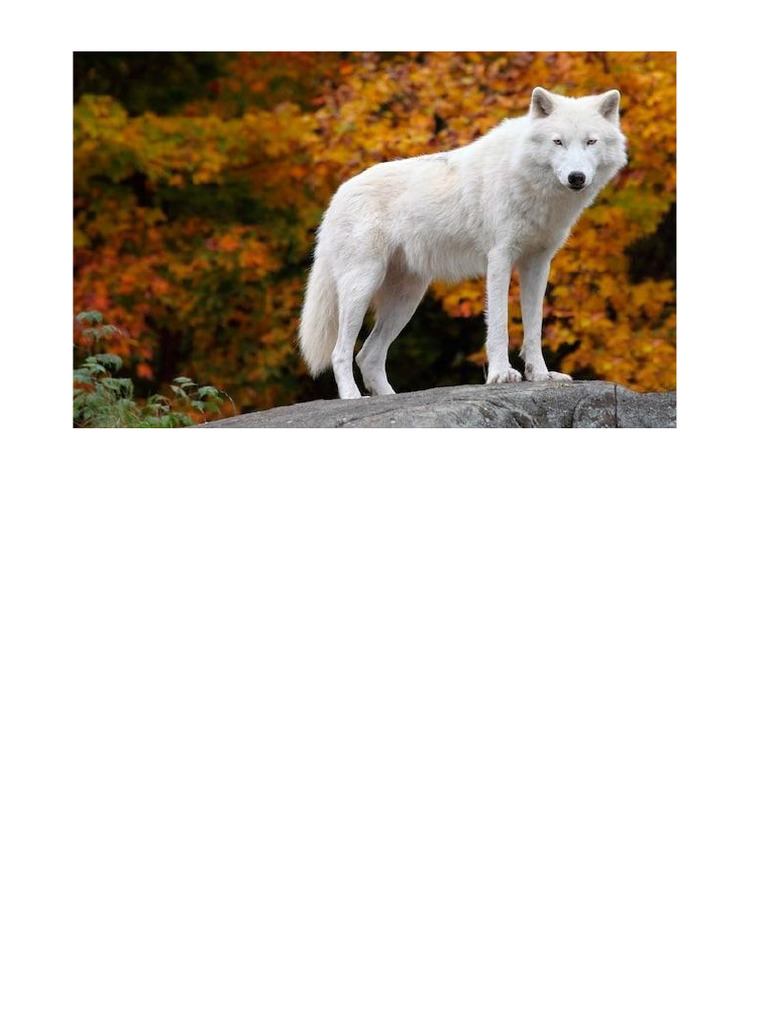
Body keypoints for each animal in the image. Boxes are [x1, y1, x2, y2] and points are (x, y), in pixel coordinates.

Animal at [299, 87, 627, 399]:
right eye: (558, 142)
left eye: (591, 142)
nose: (576, 177)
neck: (528, 180)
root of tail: (337, 195)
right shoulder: (500, 259)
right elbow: (499, 325)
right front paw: (501, 374)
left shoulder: (538, 264)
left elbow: (534, 328)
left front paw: (541, 375)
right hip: (362, 287)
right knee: (341, 353)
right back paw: (352, 397)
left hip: (406, 299)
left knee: (368, 355)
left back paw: (388, 396)